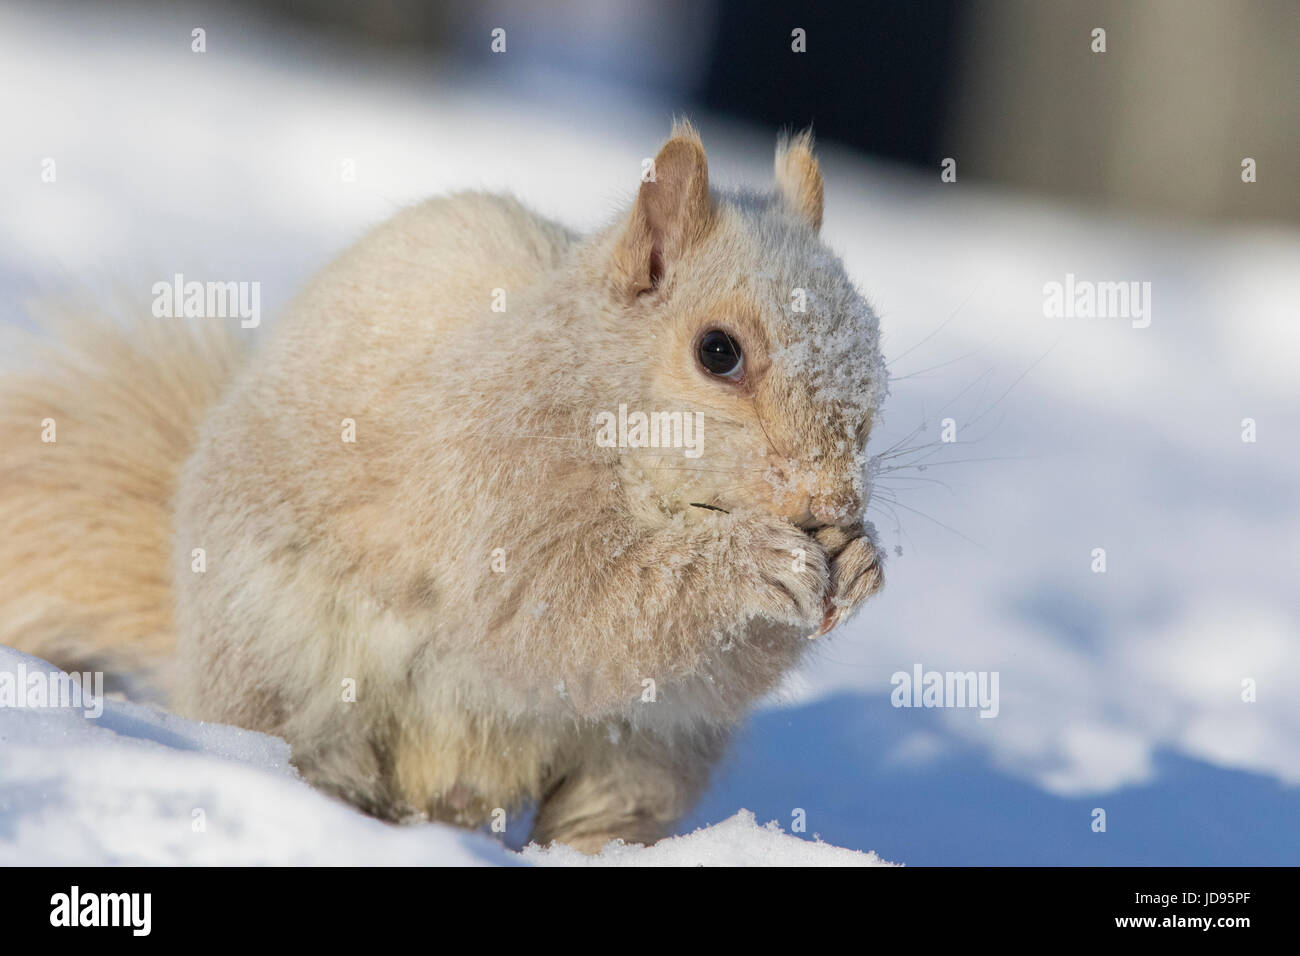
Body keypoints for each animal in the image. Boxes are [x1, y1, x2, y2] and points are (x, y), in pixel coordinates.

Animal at [0, 121, 887, 852]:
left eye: (874, 361)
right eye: (717, 352)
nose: (832, 504)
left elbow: (708, 666)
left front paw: (859, 564)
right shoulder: (491, 483)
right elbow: (573, 603)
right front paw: (751, 564)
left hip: (648, 756)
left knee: (597, 813)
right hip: (292, 675)